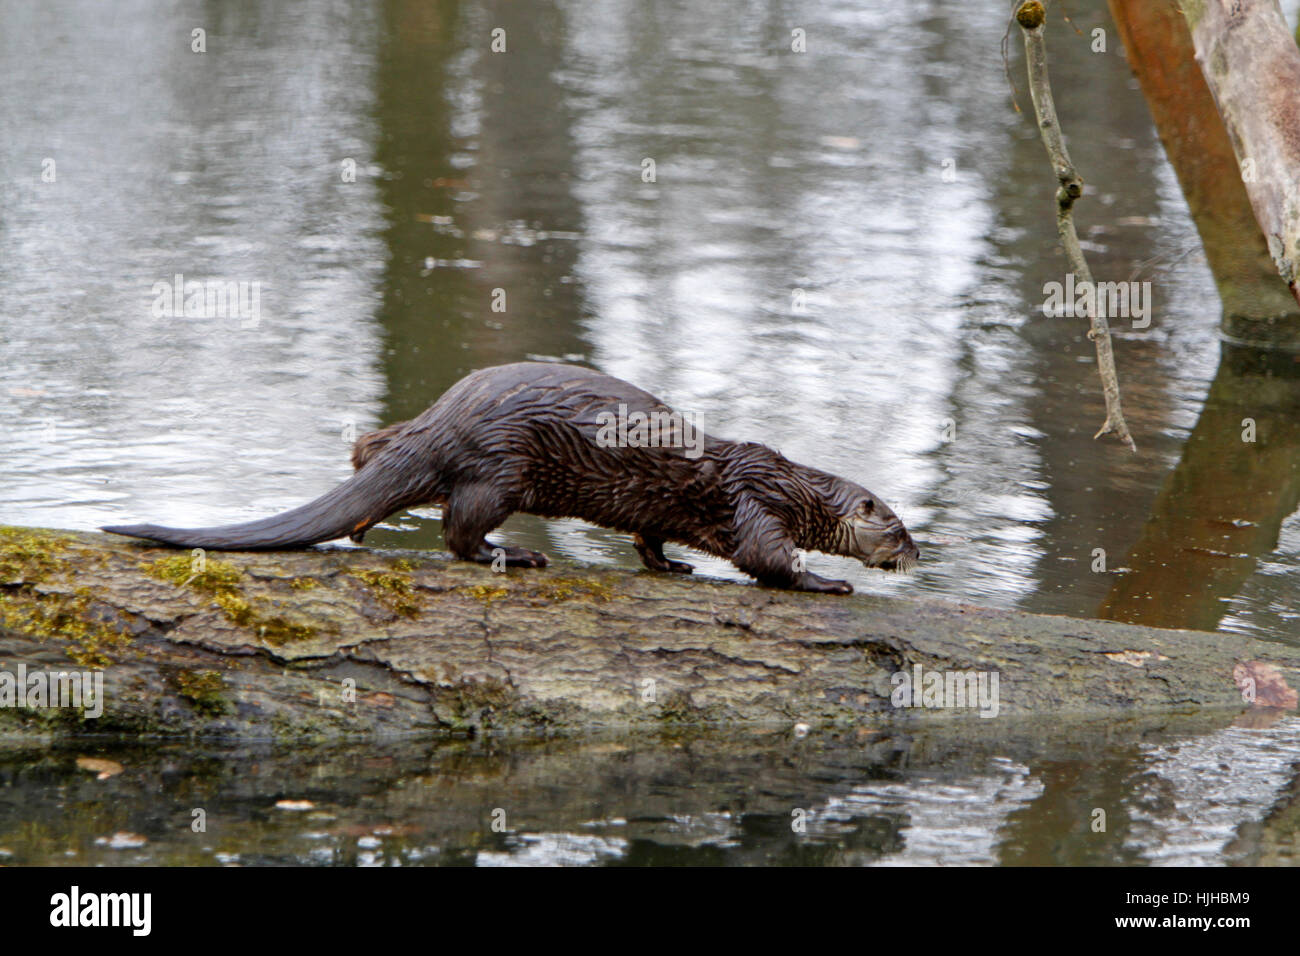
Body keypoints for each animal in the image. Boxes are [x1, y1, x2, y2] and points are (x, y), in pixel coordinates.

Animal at [103, 363, 918, 594]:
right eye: (900, 527)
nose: (917, 554)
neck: (793, 485)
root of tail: (446, 419)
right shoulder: (757, 500)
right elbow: (766, 559)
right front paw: (829, 582)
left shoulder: (669, 510)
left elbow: (651, 539)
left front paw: (673, 565)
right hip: (502, 470)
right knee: (458, 531)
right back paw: (516, 554)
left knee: (371, 453)